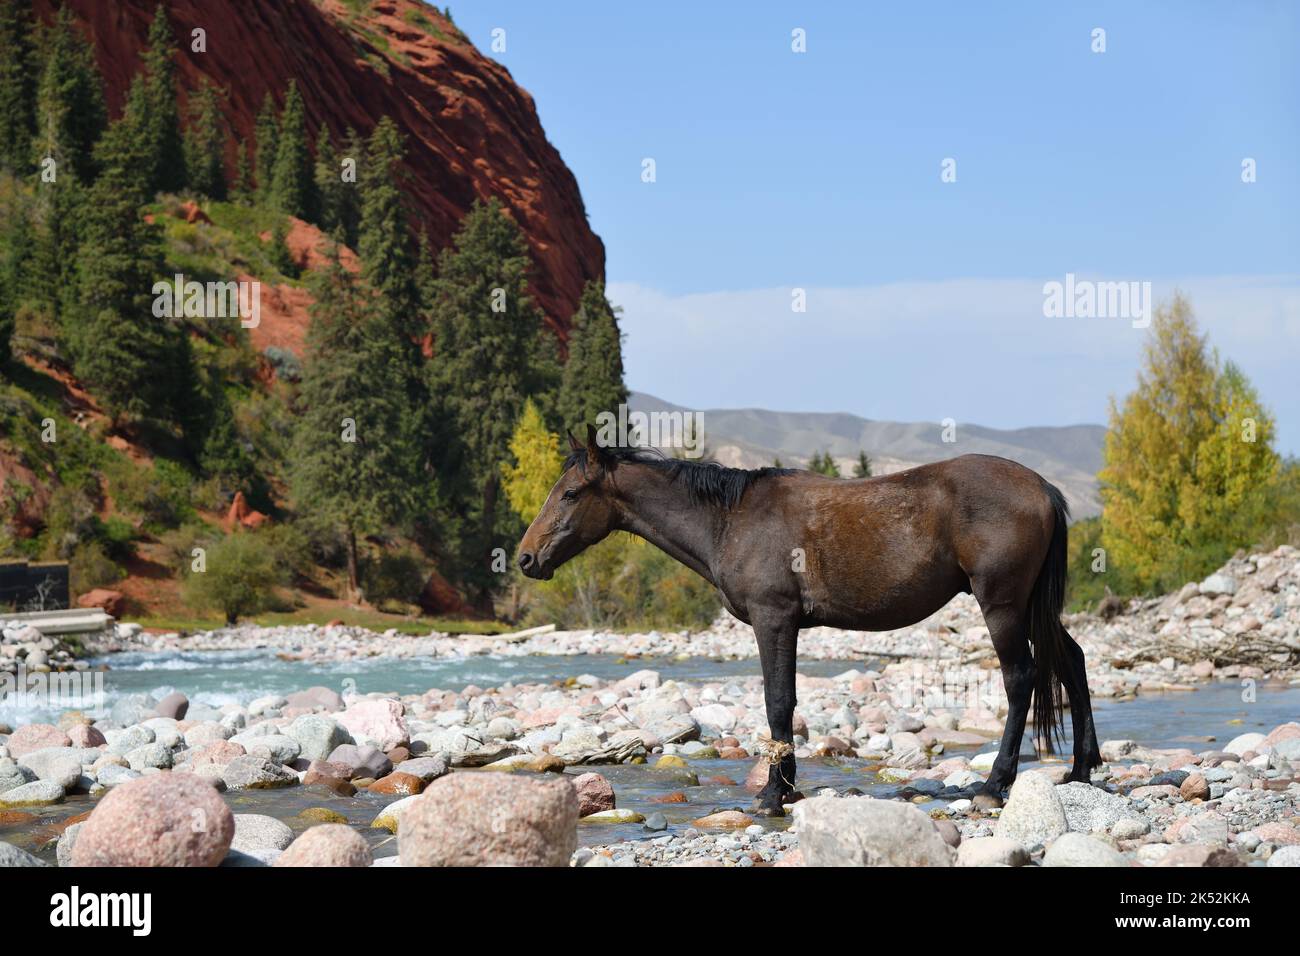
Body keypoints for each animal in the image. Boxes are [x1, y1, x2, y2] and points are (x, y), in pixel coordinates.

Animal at [516, 425, 1101, 816]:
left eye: (570, 493)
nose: (525, 558)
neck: (729, 520)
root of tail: (1042, 488)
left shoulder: (773, 620)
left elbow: (778, 703)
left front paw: (774, 794)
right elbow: (786, 704)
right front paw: (784, 786)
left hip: (1002, 605)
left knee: (1020, 679)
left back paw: (994, 784)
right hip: (1032, 608)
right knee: (1072, 661)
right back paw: (1082, 768)